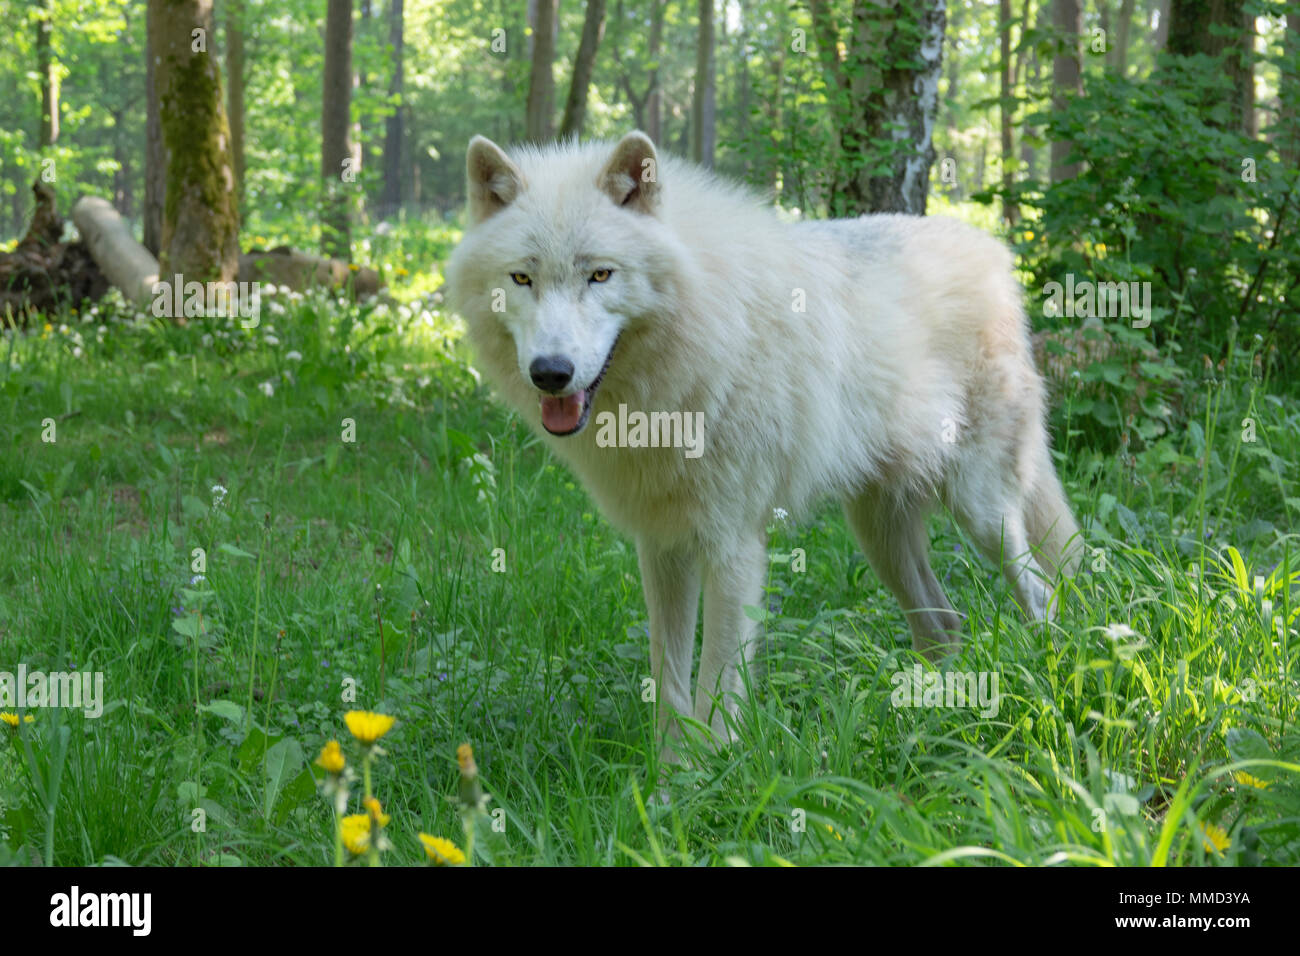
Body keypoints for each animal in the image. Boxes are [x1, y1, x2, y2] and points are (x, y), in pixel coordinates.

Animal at [445, 132, 1082, 758]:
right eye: (521, 278)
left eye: (599, 275)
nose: (550, 372)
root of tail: (992, 252)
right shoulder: (663, 546)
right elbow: (670, 683)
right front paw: (666, 778)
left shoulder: (734, 546)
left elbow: (714, 688)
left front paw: (710, 774)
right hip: (881, 535)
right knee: (945, 624)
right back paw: (930, 726)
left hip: (982, 513)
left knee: (1042, 596)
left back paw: (1045, 685)